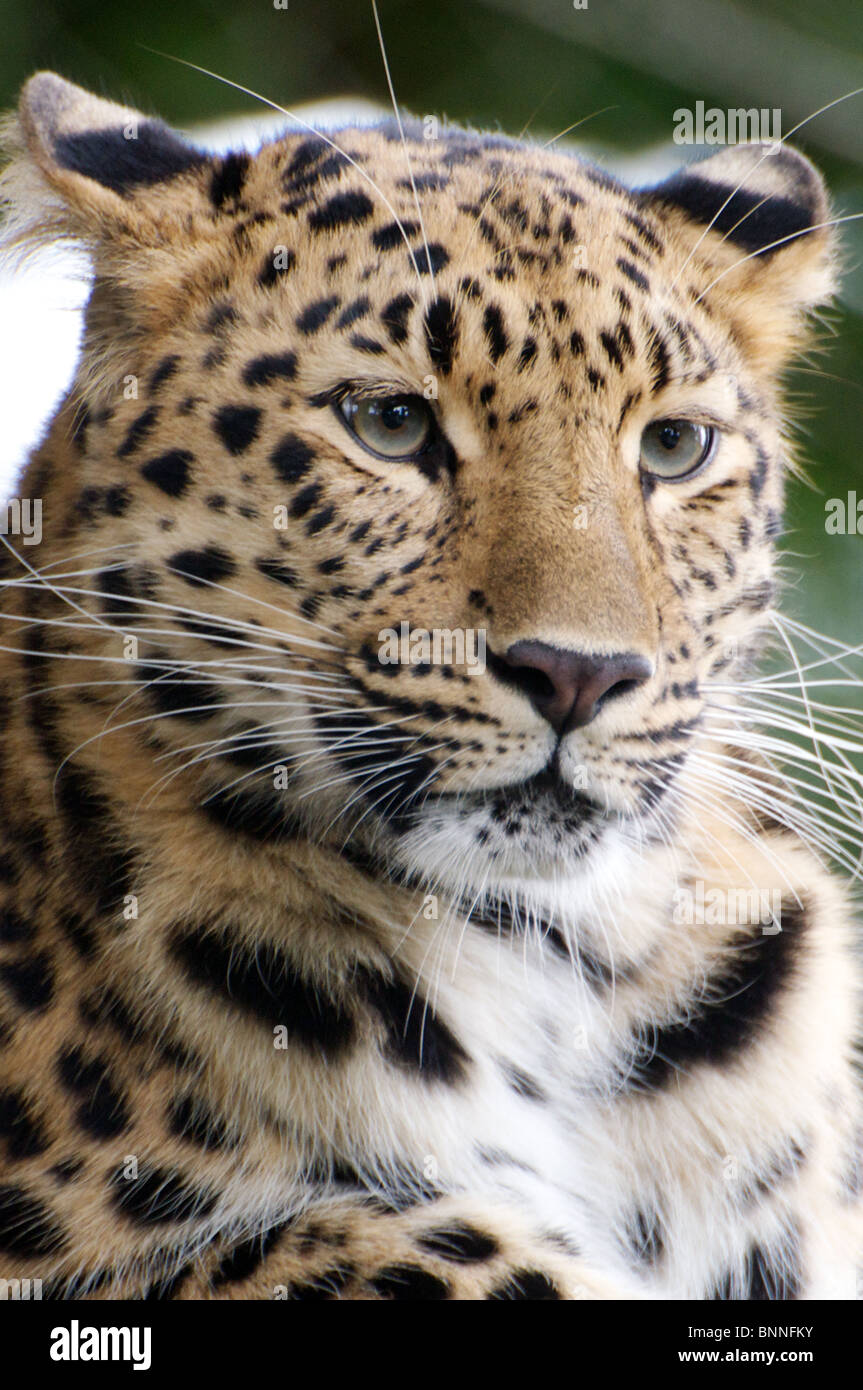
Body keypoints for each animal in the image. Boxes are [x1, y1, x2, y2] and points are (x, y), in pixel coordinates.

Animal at [0, 69, 860, 1301]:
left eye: (672, 448)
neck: (565, 968)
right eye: (389, 423)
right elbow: (399, 1245)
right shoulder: (94, 1252)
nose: (578, 673)